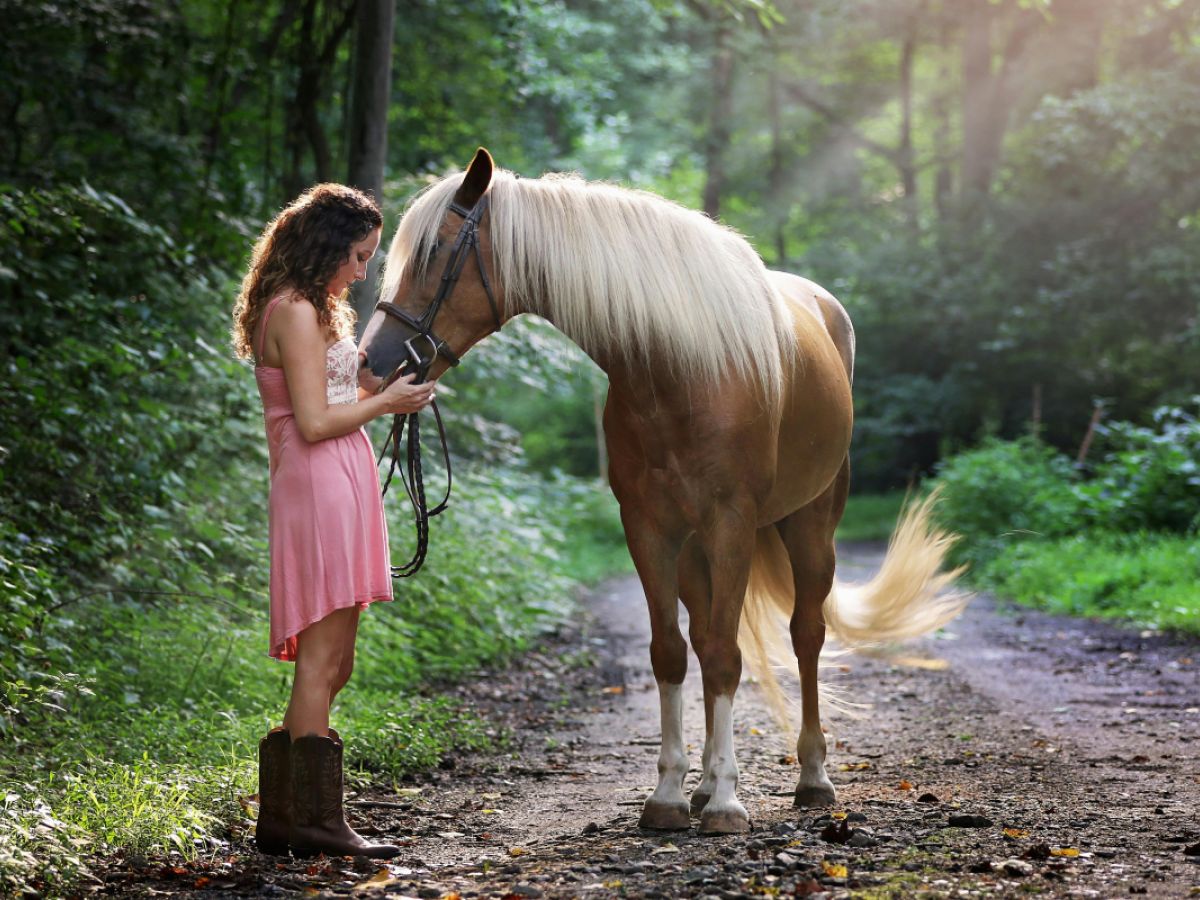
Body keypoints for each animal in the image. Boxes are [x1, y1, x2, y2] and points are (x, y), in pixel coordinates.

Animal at [358, 148, 966, 835]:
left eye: (435, 251)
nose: (372, 362)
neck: (679, 371)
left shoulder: (731, 523)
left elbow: (727, 656)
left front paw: (728, 803)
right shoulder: (648, 528)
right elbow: (672, 653)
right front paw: (673, 794)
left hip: (811, 525)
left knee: (805, 634)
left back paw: (811, 777)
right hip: (698, 547)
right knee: (704, 637)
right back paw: (702, 785)